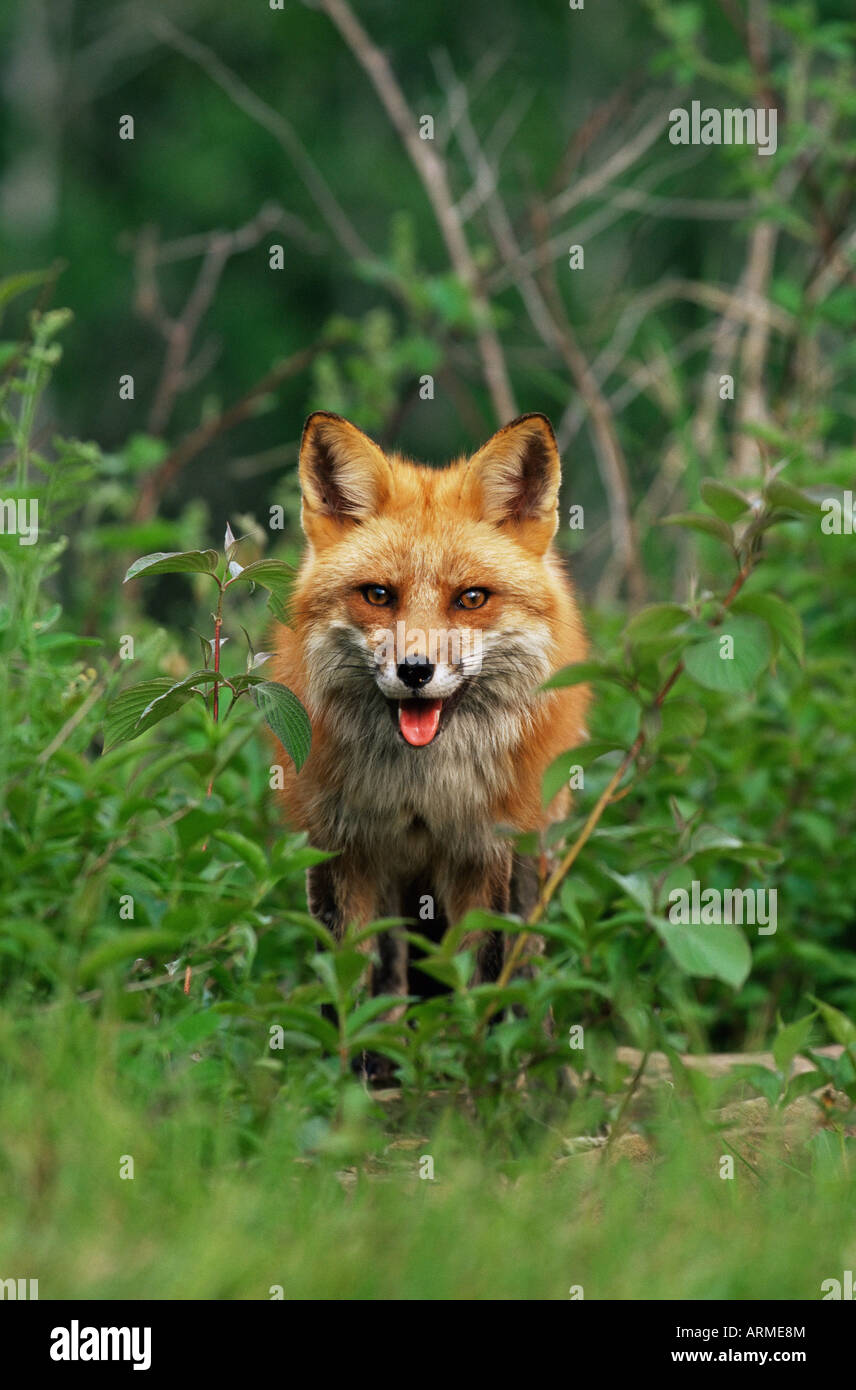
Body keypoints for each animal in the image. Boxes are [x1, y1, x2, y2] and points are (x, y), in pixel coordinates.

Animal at [270, 410, 589, 1009]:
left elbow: (481, 983)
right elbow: (348, 989)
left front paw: (477, 1039)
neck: (422, 789)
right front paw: (349, 1039)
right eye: (377, 595)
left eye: (471, 598)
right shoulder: (341, 847)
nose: (414, 671)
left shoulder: (485, 852)